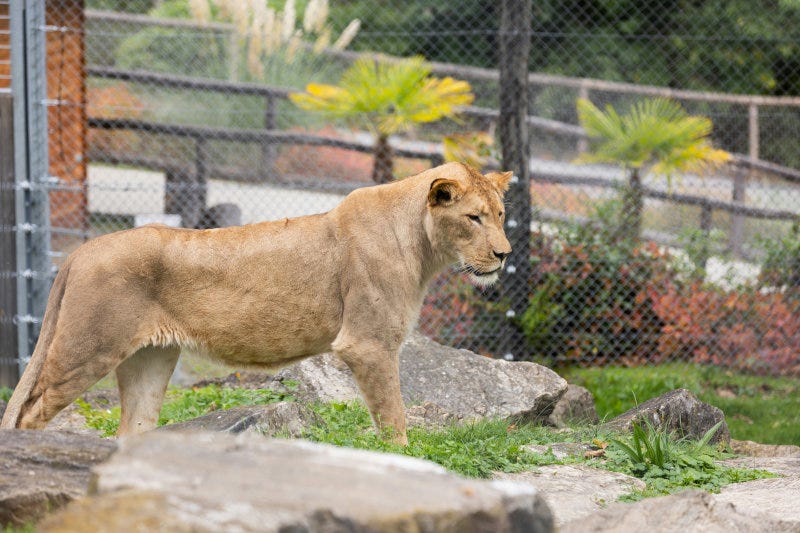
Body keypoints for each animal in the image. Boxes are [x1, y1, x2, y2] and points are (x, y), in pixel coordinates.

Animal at [1, 162, 512, 444]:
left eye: (502, 215)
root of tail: (82, 250)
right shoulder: (367, 344)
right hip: (86, 349)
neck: (422, 245)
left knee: (132, 431)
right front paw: (403, 460)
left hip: (150, 358)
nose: (504, 254)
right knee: (27, 414)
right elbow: (393, 415)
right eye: (473, 218)